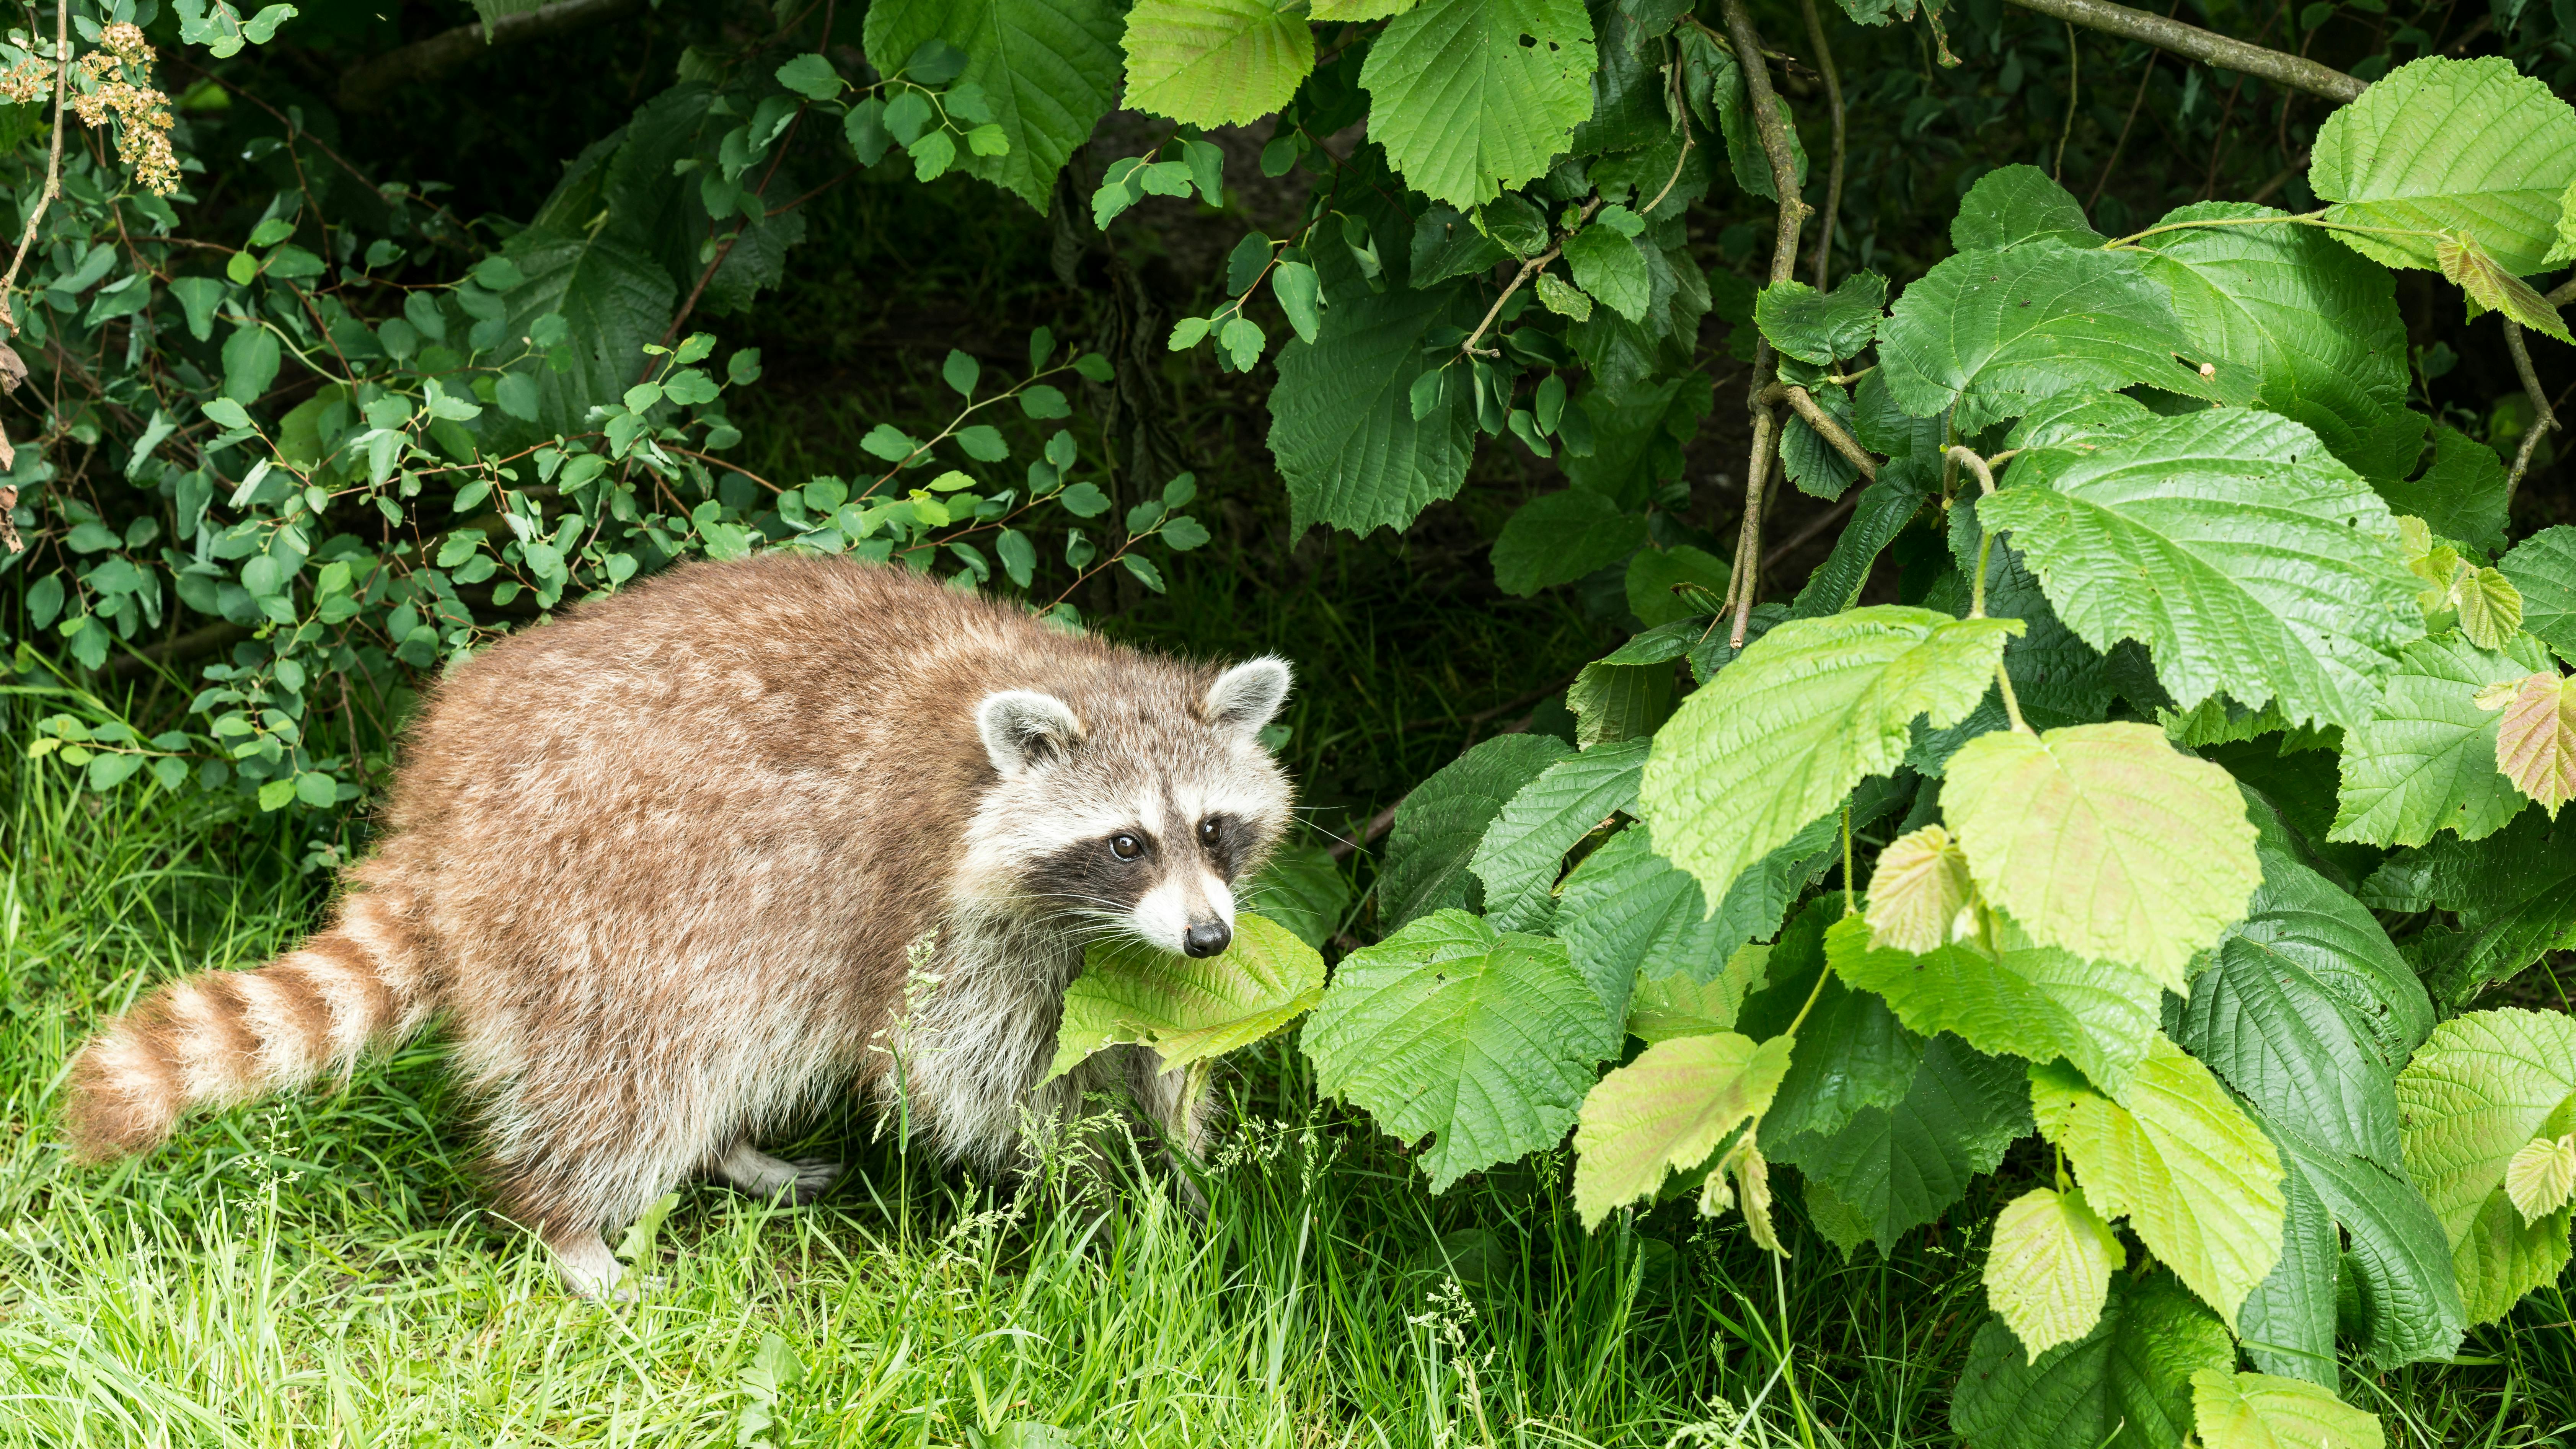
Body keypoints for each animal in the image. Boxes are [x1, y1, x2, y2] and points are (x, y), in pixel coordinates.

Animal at [63, 554, 1296, 1297]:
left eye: (1213, 828)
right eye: (1127, 843)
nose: (1210, 940)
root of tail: (442, 796)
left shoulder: (1111, 950)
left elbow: (1158, 1041)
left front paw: (1185, 1163)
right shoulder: (938, 913)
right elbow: (973, 1075)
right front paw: (1092, 1184)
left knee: (726, 1039)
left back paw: (728, 1150)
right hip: (611, 892)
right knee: (630, 1069)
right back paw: (565, 1224)